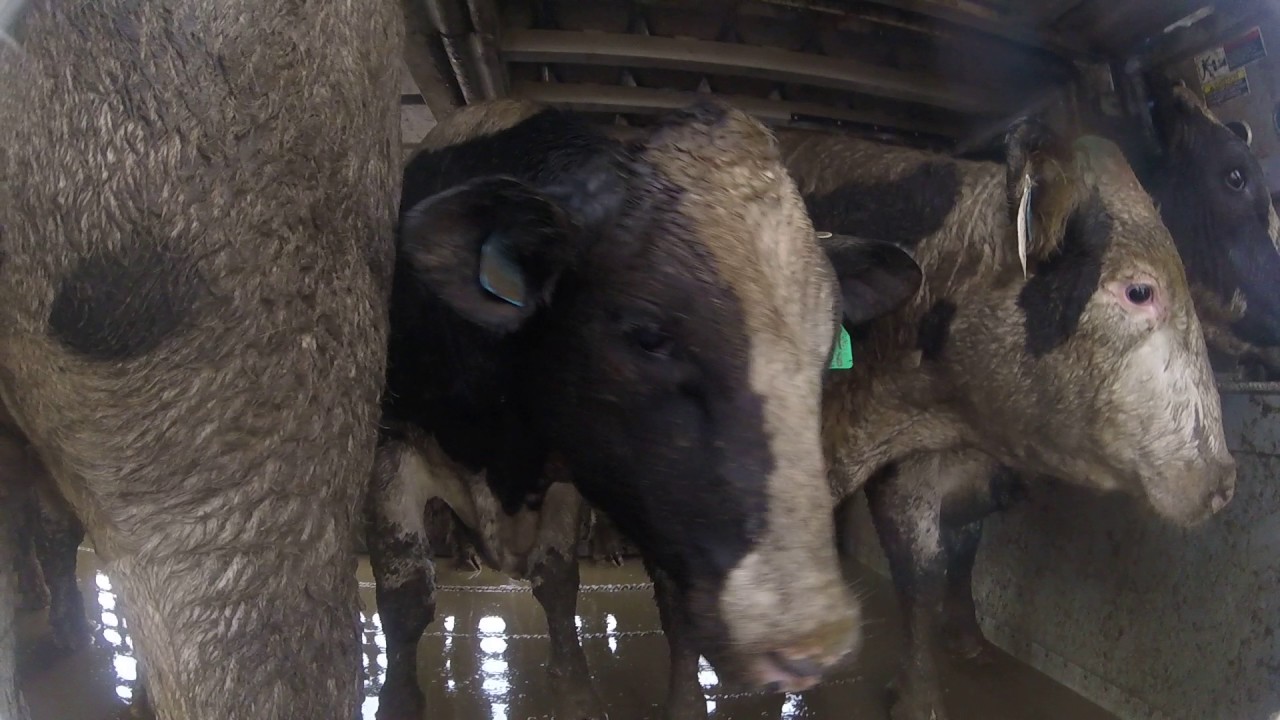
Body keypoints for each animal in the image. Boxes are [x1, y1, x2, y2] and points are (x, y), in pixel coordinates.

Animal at [365, 98, 925, 720]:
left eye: (827, 349)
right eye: (649, 335)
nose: (810, 641)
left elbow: (561, 582)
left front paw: (581, 695)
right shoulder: (389, 446)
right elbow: (407, 596)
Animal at [825, 81, 1278, 720]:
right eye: (1236, 177)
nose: (1223, 482)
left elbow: (965, 547)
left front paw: (971, 644)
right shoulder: (899, 464)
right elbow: (919, 568)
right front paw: (918, 698)